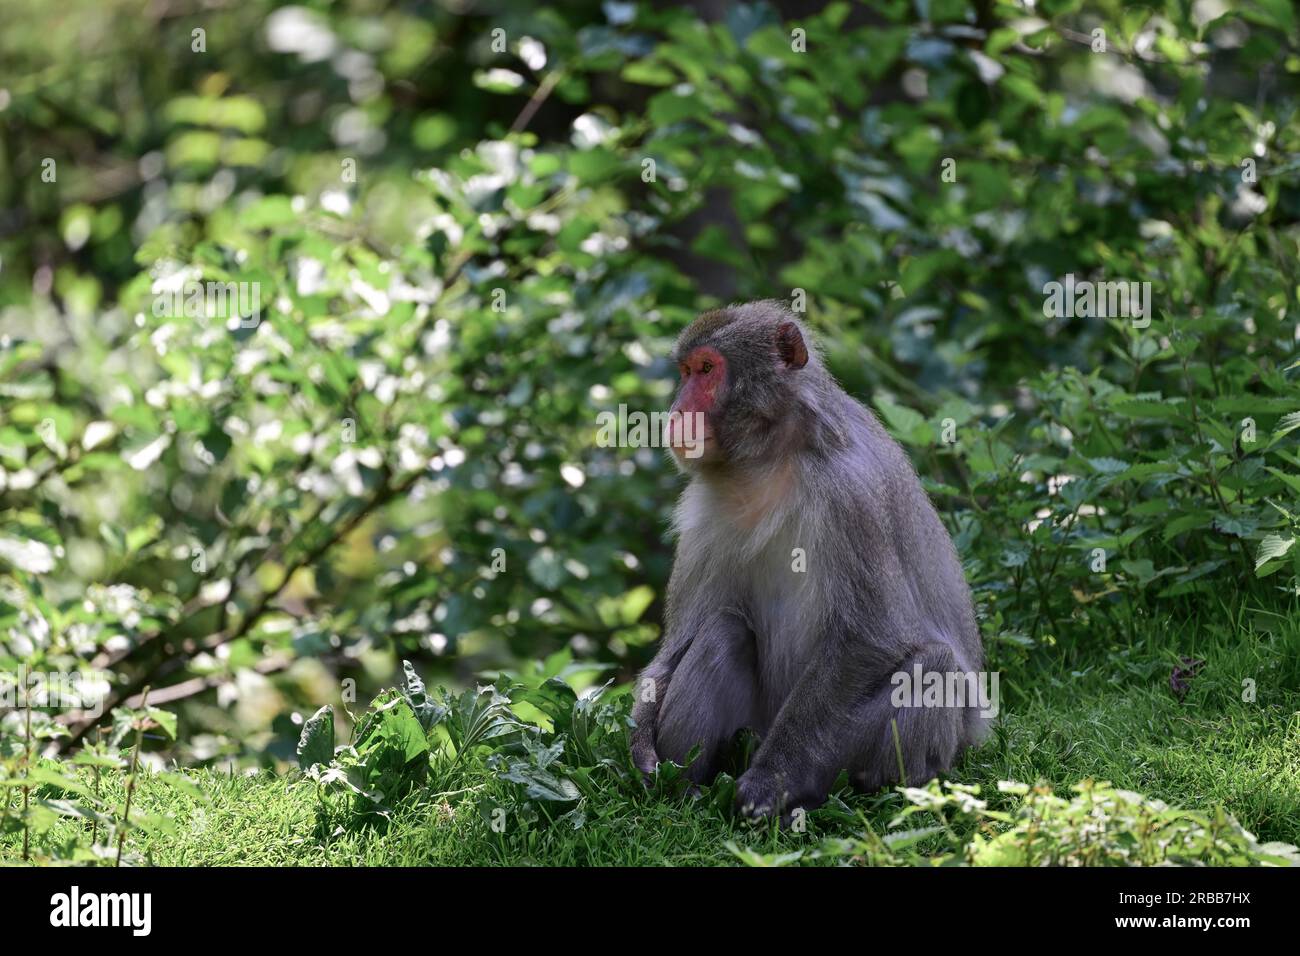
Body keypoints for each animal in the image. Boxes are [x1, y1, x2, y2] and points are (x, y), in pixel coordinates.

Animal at [630, 300, 987, 821]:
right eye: (685, 372)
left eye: (707, 369)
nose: (676, 413)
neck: (769, 458)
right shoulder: (702, 506)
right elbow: (682, 640)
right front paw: (639, 739)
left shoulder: (851, 494)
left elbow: (869, 638)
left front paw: (767, 781)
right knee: (722, 631)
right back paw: (685, 789)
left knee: (934, 667)